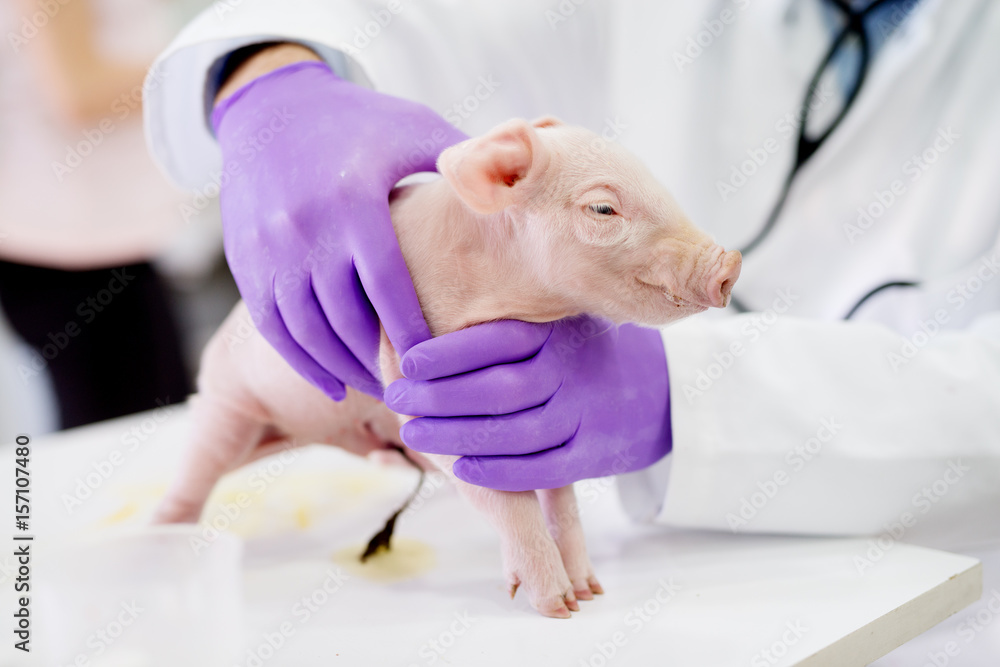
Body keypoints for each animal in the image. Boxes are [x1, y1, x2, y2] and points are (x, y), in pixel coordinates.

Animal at [154, 116, 741, 618]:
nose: (731, 263)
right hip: (226, 405)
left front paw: (588, 591)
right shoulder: (414, 381)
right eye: (602, 209)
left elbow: (560, 493)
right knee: (196, 469)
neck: (506, 296)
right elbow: (505, 500)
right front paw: (556, 606)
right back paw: (160, 533)